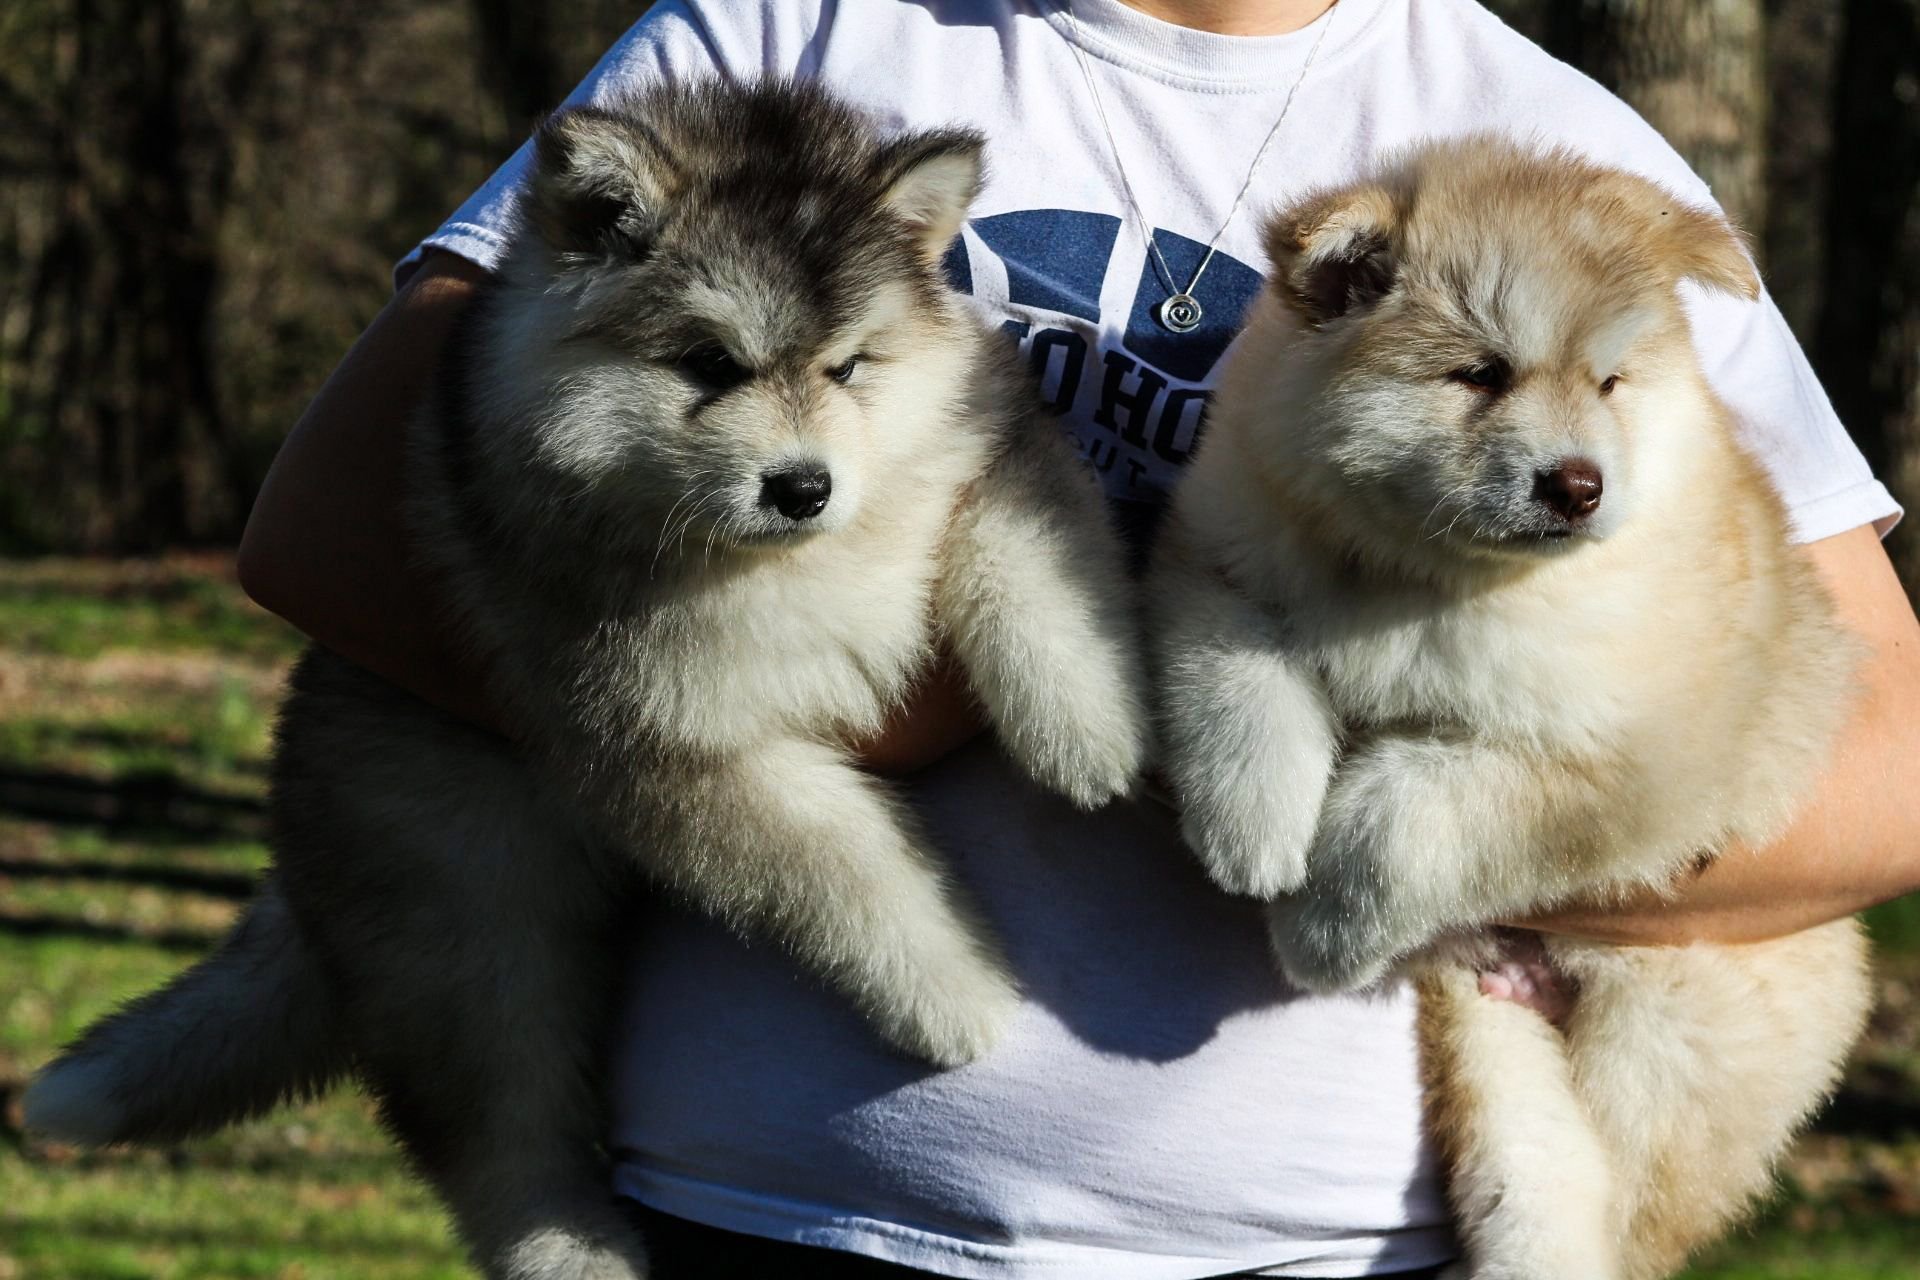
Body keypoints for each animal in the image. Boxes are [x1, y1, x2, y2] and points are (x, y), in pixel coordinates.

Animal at [30, 82, 1144, 1280]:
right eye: (708, 363)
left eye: (852, 366)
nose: (805, 487)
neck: (778, 560)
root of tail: (293, 857)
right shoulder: (655, 735)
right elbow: (840, 862)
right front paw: (955, 993)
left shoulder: (989, 446)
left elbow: (1020, 552)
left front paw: (1091, 725)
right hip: (475, 932)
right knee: (500, 1140)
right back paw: (575, 1249)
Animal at [1152, 135, 1873, 1274]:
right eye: (1480, 372)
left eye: (1611, 383)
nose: (1577, 484)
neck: (1425, 575)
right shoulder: (1216, 563)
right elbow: (1240, 683)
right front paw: (1252, 831)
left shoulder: (1626, 763)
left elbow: (1406, 809)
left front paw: (1320, 928)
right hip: (1488, 1039)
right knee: (1536, 1180)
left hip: (1662, 1036)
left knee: (1629, 1209)